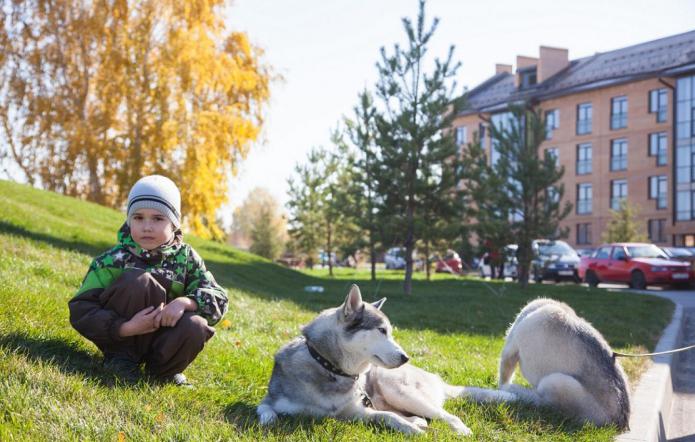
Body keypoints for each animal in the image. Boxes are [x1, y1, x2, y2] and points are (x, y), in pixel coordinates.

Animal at [256, 284, 512, 436]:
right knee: (419, 417)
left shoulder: (358, 411)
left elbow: (388, 417)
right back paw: (418, 422)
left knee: (444, 415)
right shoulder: (271, 400)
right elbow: (266, 409)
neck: (329, 367)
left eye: (390, 331)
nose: (406, 357)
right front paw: (268, 420)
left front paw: (412, 432)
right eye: (381, 331)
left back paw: (459, 430)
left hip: (395, 388)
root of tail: (437, 380)